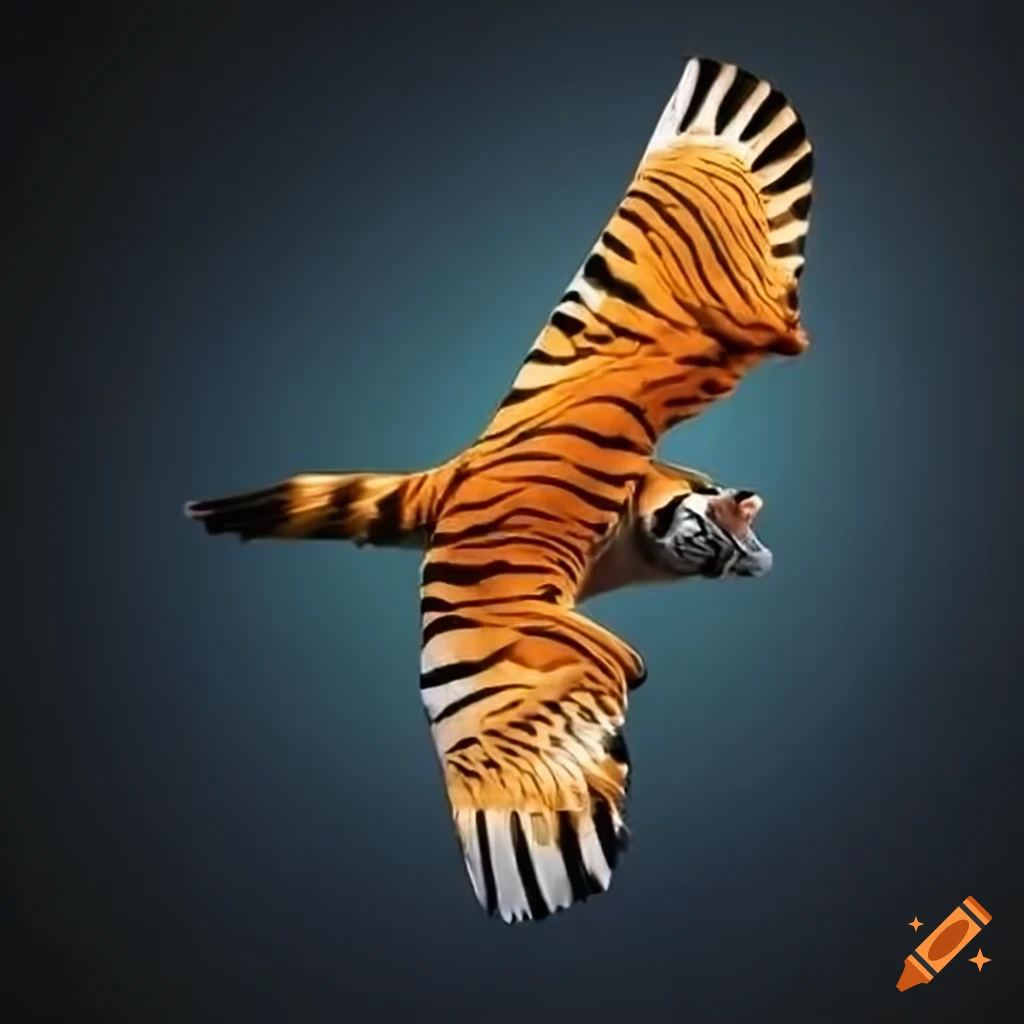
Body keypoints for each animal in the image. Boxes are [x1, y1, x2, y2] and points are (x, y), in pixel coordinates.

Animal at [185, 56, 813, 923]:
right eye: (717, 518)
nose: (753, 512)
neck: (643, 519)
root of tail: (446, 476)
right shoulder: (527, 617)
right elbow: (601, 668)